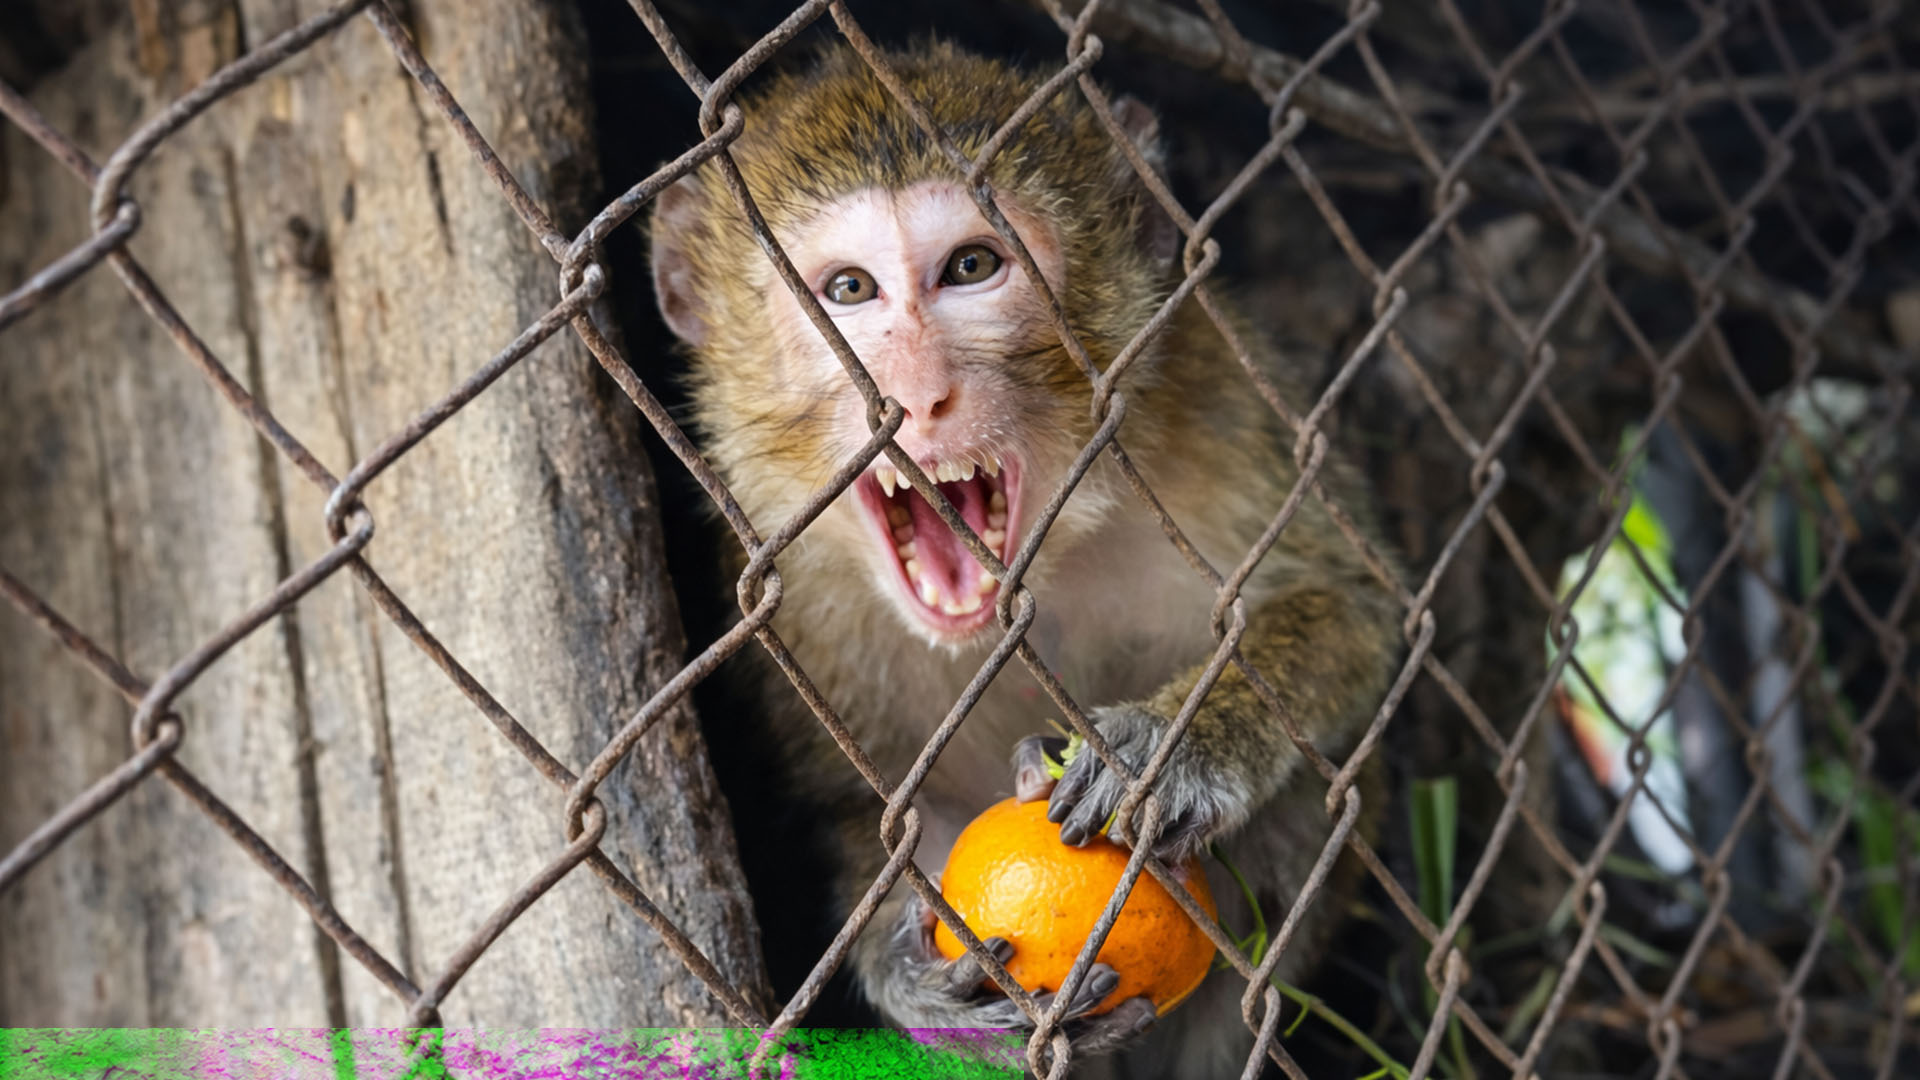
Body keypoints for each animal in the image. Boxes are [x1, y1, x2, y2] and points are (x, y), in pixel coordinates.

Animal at [649, 41, 1402, 1079]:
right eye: (848, 292)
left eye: (972, 267)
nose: (918, 395)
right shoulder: (783, 603)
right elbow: (867, 816)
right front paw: (908, 974)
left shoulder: (1218, 404)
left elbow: (1362, 610)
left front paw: (1180, 744)